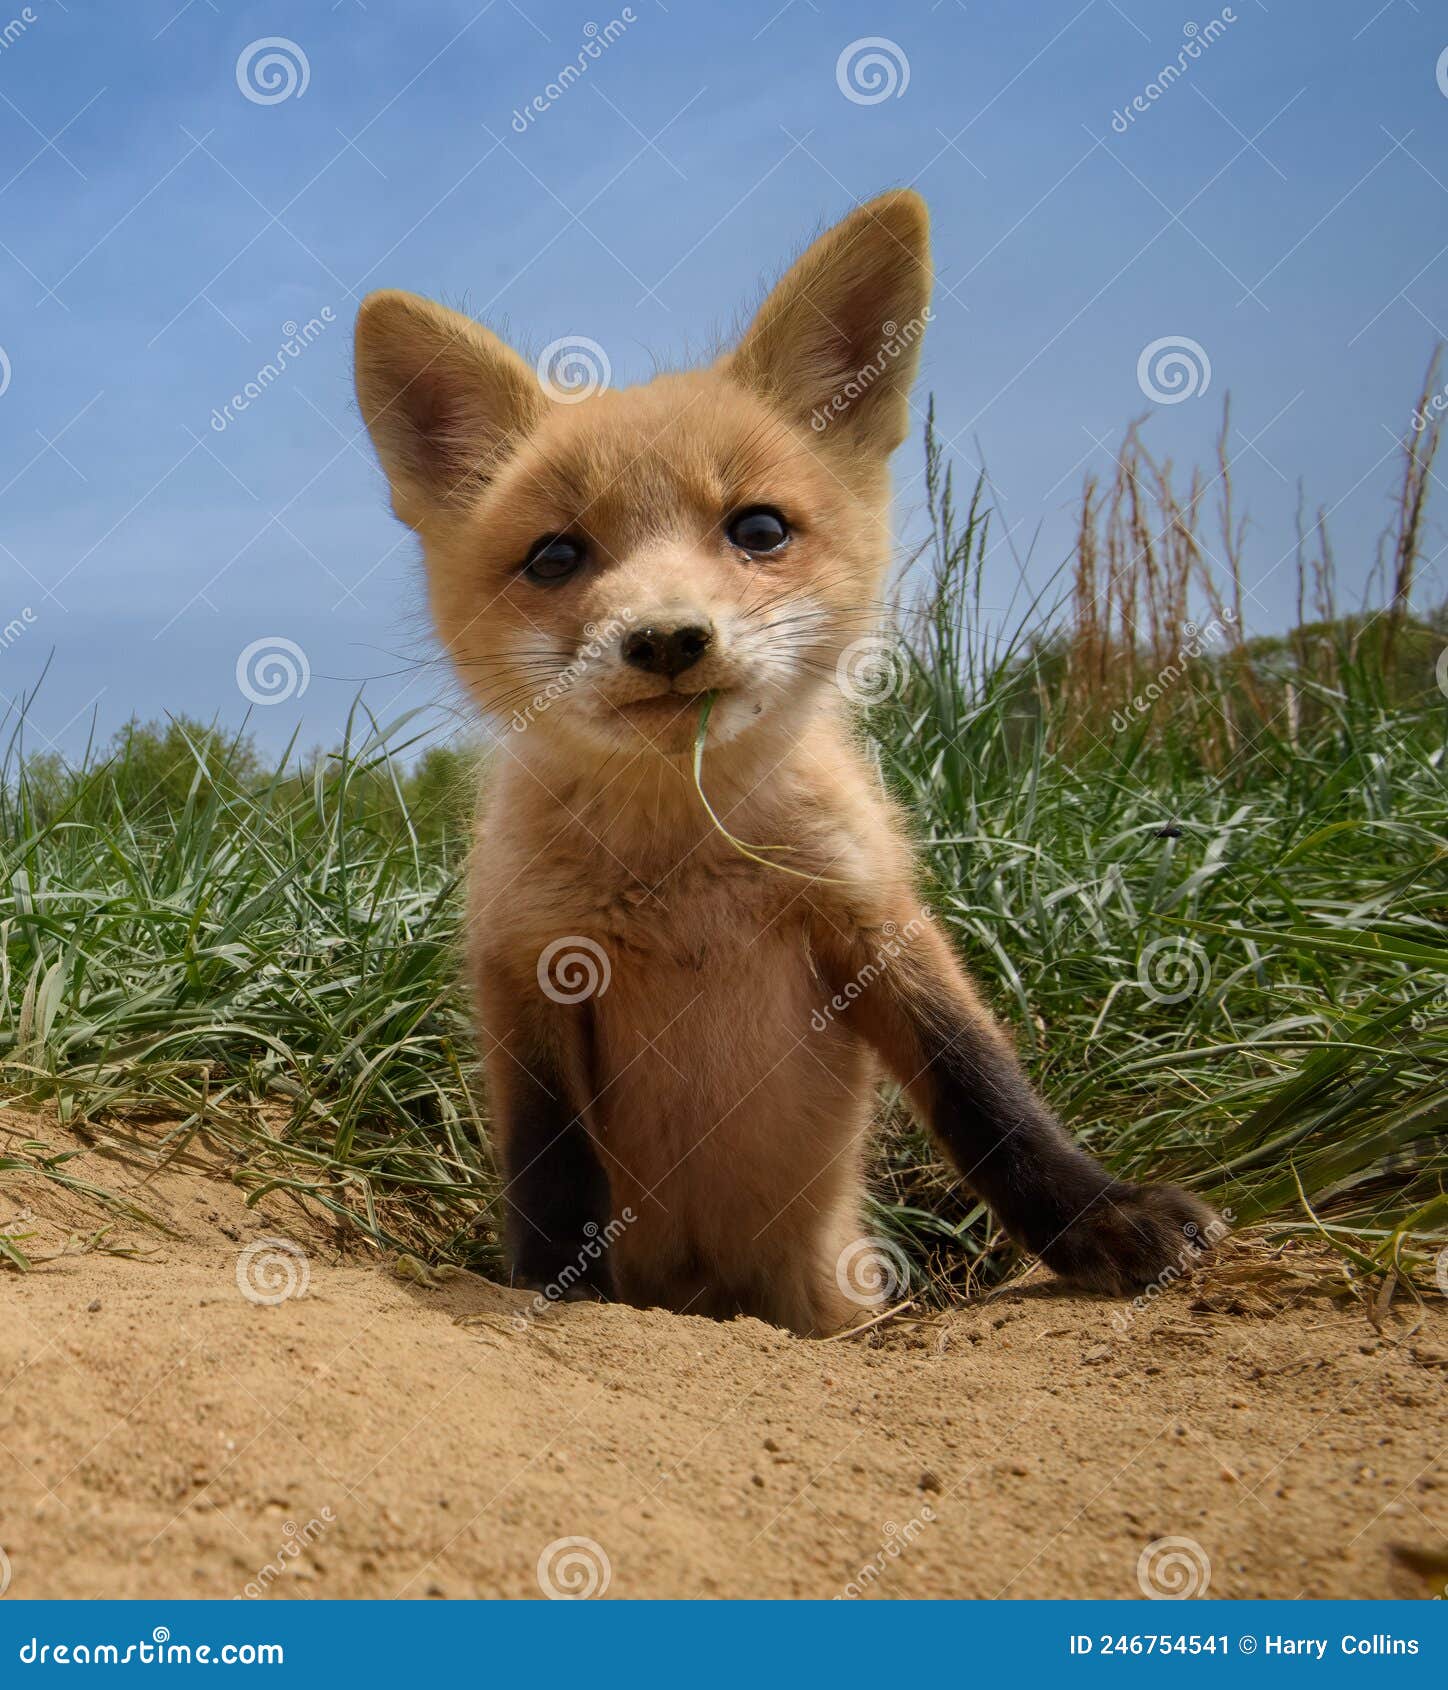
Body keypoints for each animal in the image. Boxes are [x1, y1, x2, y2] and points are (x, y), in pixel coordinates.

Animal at [353, 190, 1219, 1336]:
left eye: (757, 529)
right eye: (555, 556)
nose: (668, 639)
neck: (686, 873)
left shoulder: (874, 917)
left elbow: (987, 1095)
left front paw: (1099, 1217)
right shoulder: (526, 971)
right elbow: (550, 1174)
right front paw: (550, 1291)